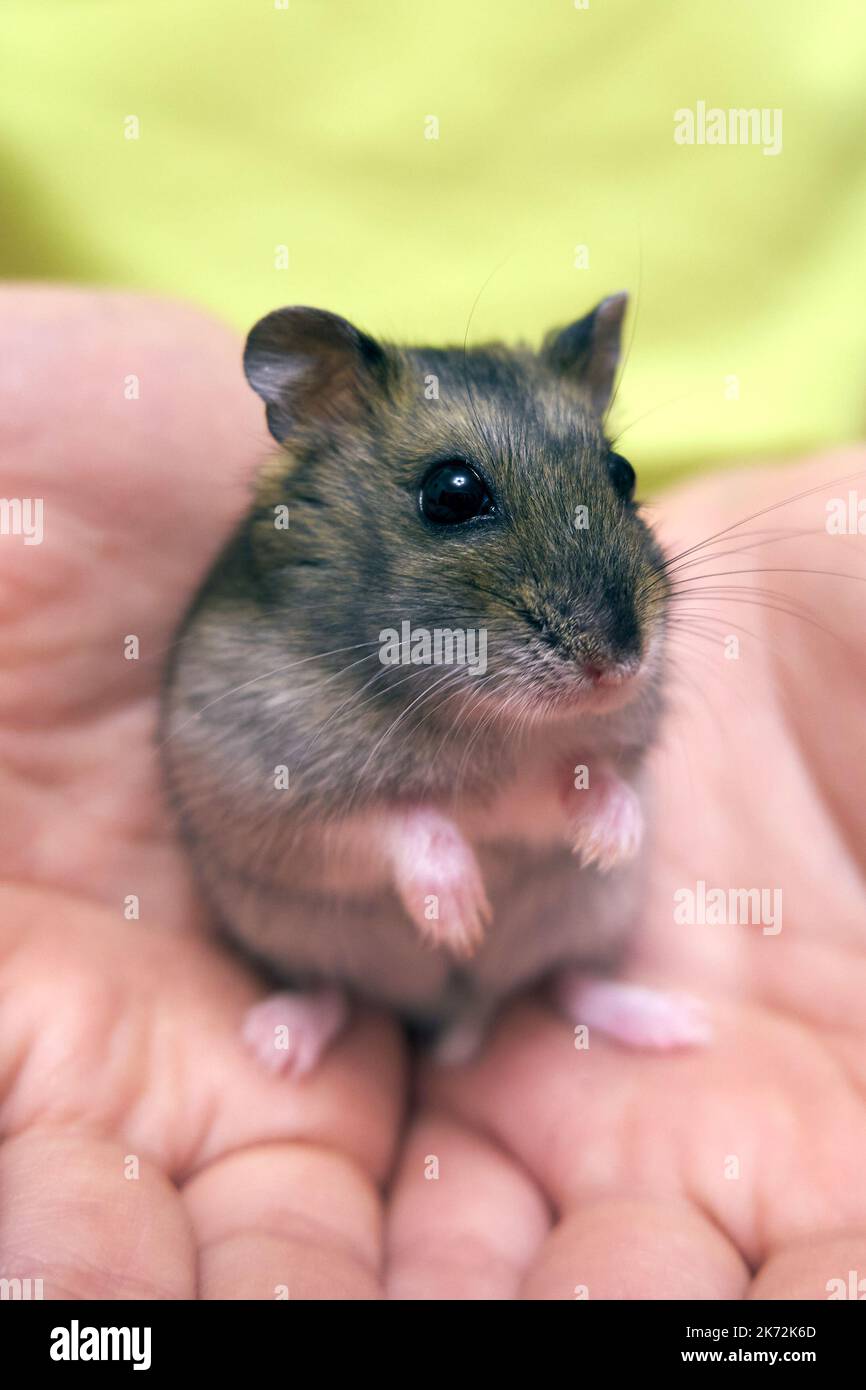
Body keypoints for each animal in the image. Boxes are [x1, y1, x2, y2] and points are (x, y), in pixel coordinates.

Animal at [161, 295, 709, 1074]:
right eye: (452, 493)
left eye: (624, 473)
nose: (620, 665)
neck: (493, 718)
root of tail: (458, 1013)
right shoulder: (272, 791)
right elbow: (395, 822)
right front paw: (462, 917)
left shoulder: (547, 786)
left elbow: (589, 778)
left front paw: (611, 842)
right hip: (289, 931)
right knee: (333, 990)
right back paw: (279, 1042)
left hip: (589, 919)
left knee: (567, 981)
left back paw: (673, 1023)